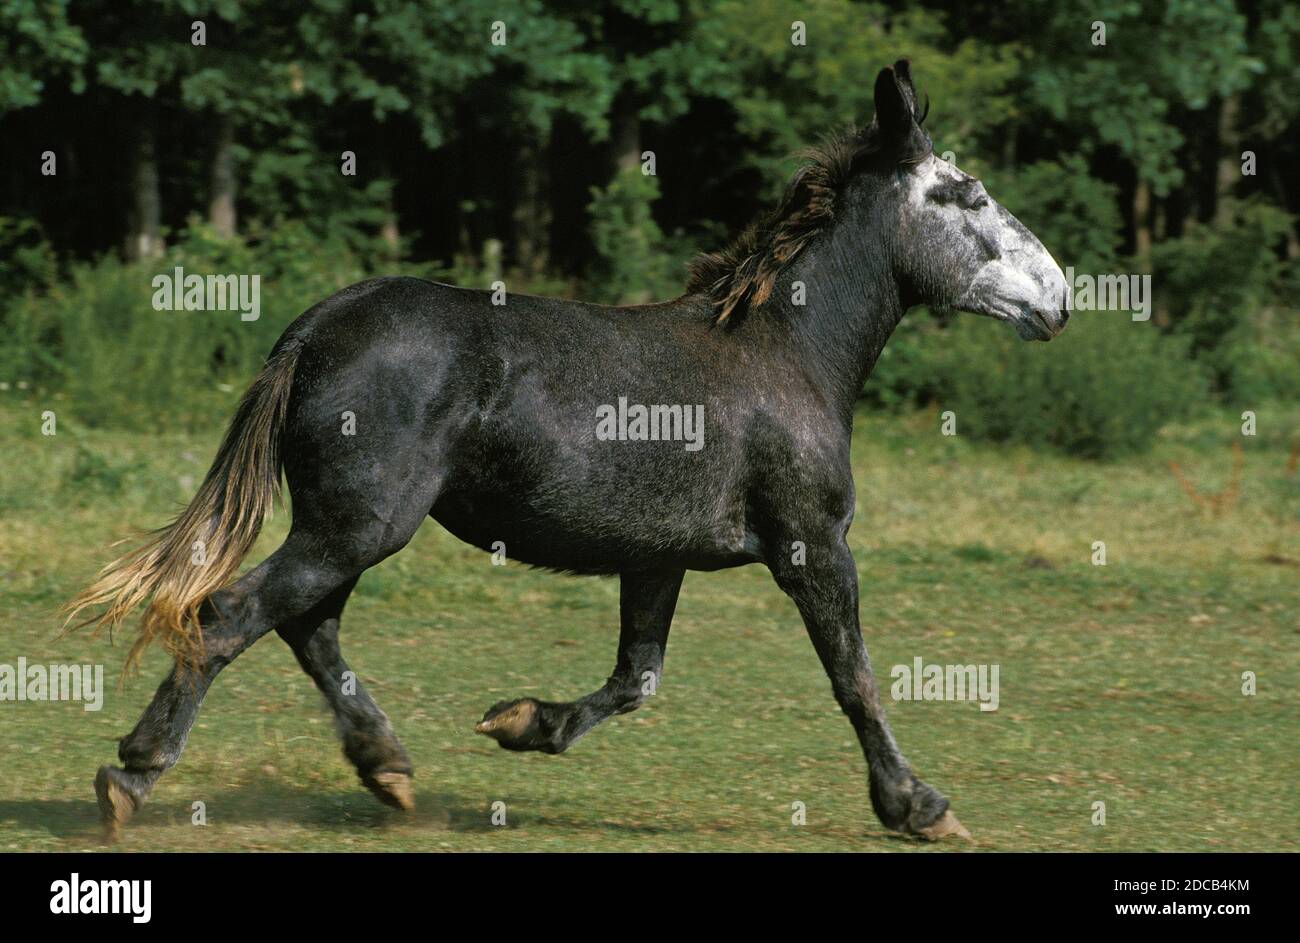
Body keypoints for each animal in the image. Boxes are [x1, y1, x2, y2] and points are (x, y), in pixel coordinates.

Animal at [67, 60, 1069, 841]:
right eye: (969, 195)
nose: (1060, 296)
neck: (785, 352)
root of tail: (318, 326)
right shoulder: (811, 545)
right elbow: (854, 676)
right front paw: (919, 805)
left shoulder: (658, 559)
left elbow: (635, 679)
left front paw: (519, 723)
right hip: (356, 525)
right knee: (232, 615)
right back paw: (132, 774)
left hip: (346, 529)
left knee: (307, 628)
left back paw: (388, 767)